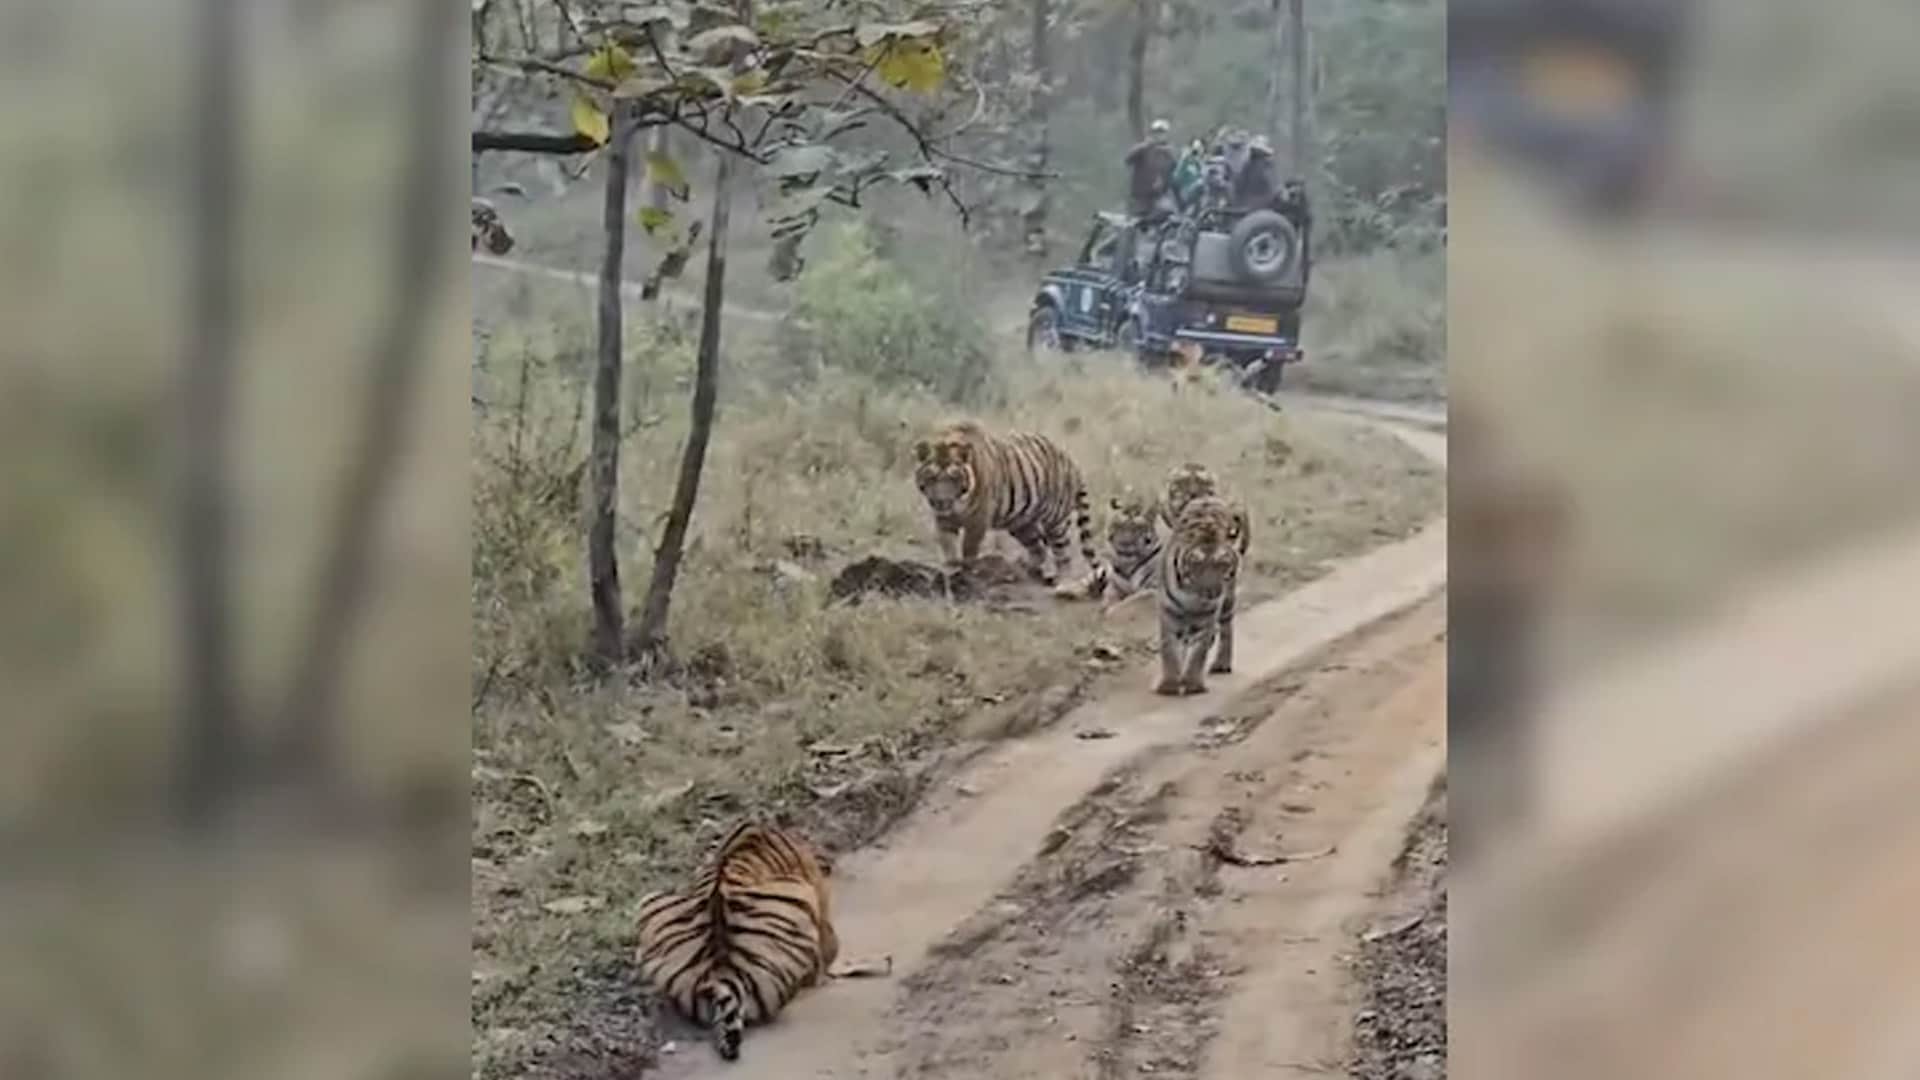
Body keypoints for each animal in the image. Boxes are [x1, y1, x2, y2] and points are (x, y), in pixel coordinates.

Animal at [913, 420, 1102, 586]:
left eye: (953, 478)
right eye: (932, 477)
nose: (941, 501)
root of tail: (1072, 462)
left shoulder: (977, 520)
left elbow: (969, 549)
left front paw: (967, 573)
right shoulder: (943, 520)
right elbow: (949, 546)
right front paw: (952, 572)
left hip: (1055, 521)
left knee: (1063, 555)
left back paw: (1062, 581)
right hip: (1021, 524)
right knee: (1039, 549)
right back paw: (1022, 570)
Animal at [1155, 495, 1242, 696]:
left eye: (1221, 564)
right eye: (1198, 564)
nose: (1212, 592)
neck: (1192, 595)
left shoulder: (1208, 615)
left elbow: (1198, 652)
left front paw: (1193, 684)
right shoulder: (1168, 611)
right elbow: (1169, 648)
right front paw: (1170, 684)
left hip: (1227, 602)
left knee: (1226, 630)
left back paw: (1221, 663)